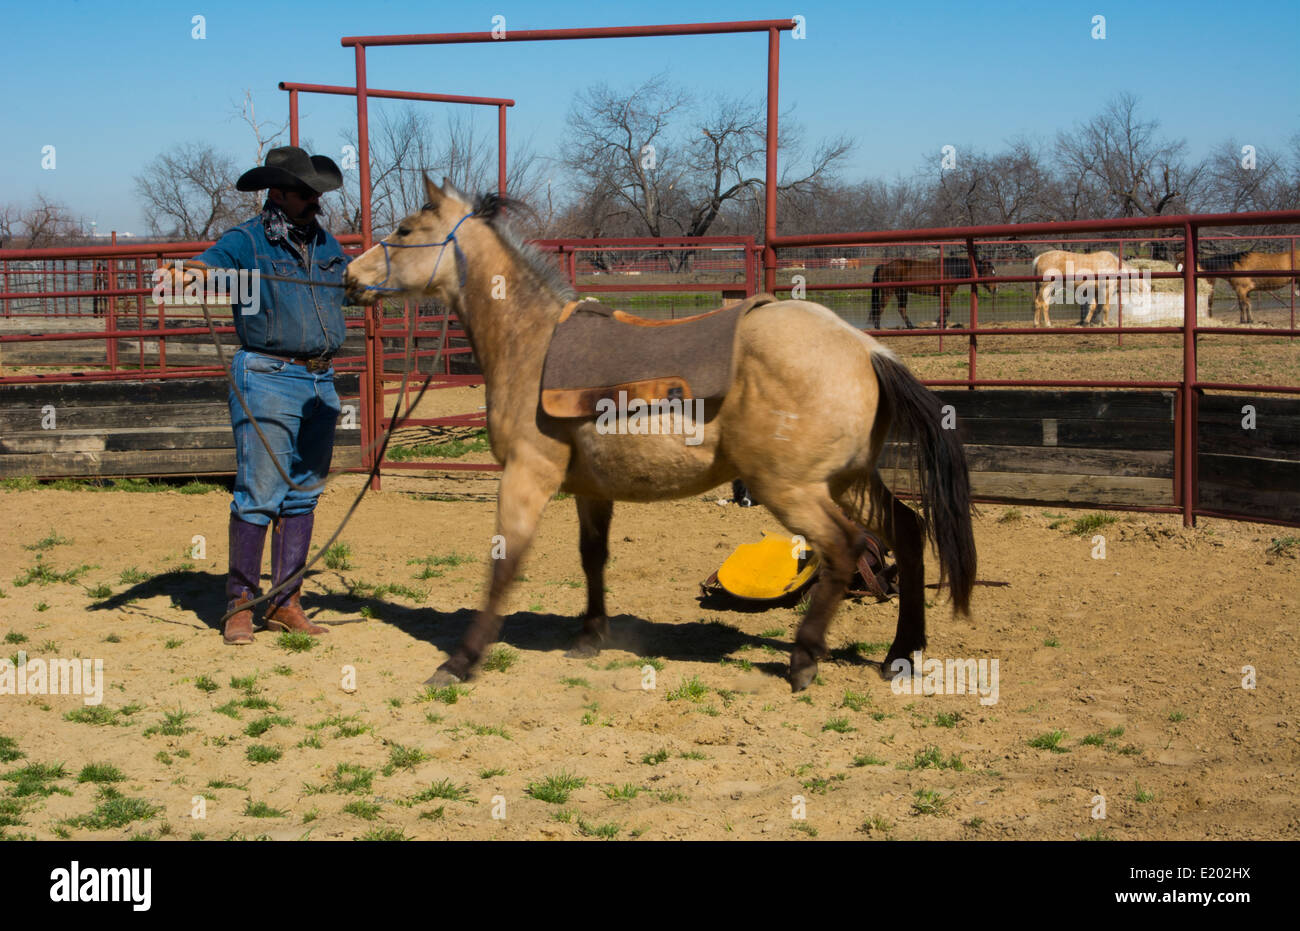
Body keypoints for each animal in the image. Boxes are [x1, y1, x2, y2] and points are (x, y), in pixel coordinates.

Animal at [344, 176, 976, 692]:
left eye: (404, 229)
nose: (350, 277)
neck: (530, 342)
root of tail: (867, 349)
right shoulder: (590, 490)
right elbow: (592, 559)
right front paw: (589, 637)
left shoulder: (527, 475)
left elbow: (504, 564)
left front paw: (460, 661)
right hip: (847, 480)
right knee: (909, 532)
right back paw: (901, 655)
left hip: (793, 489)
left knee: (844, 549)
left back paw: (803, 659)